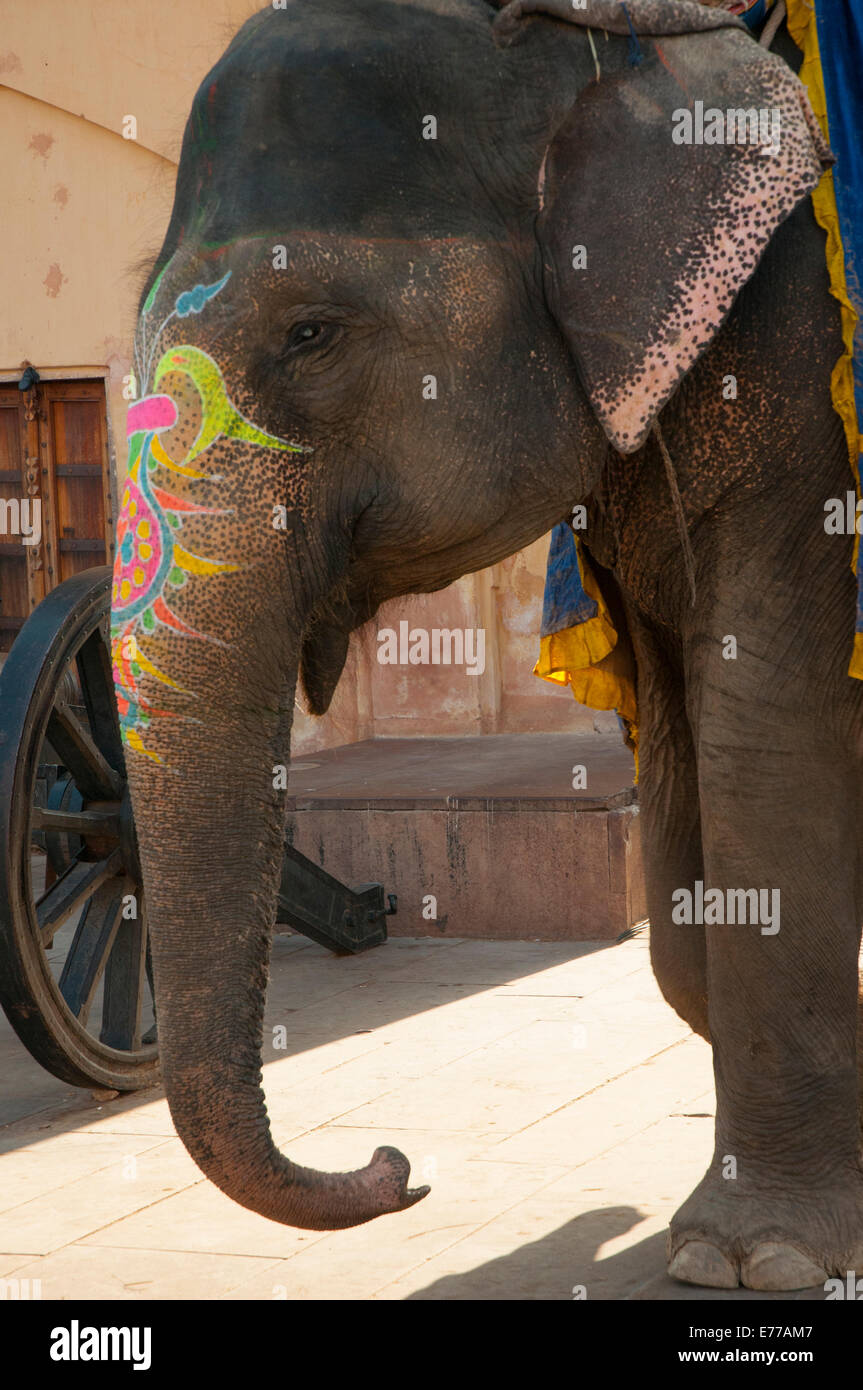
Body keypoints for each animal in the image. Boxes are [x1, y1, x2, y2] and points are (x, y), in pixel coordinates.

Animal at [111, 0, 863, 1292]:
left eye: (310, 332)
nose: (396, 1164)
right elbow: (679, 793)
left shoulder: (799, 384)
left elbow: (762, 740)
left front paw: (753, 1257)